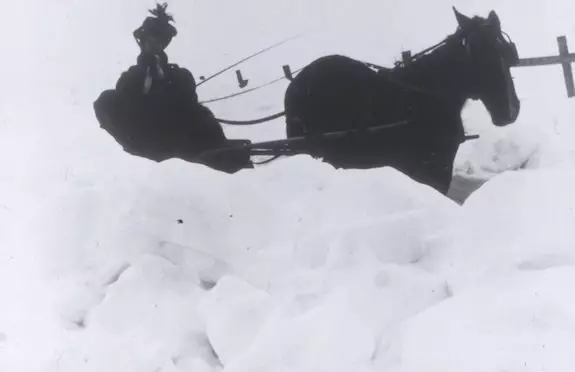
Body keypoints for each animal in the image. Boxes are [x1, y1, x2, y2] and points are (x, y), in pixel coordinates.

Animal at [284, 8, 520, 195]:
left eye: (506, 53)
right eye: (479, 56)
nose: (510, 111)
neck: (427, 96)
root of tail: (297, 82)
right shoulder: (433, 169)